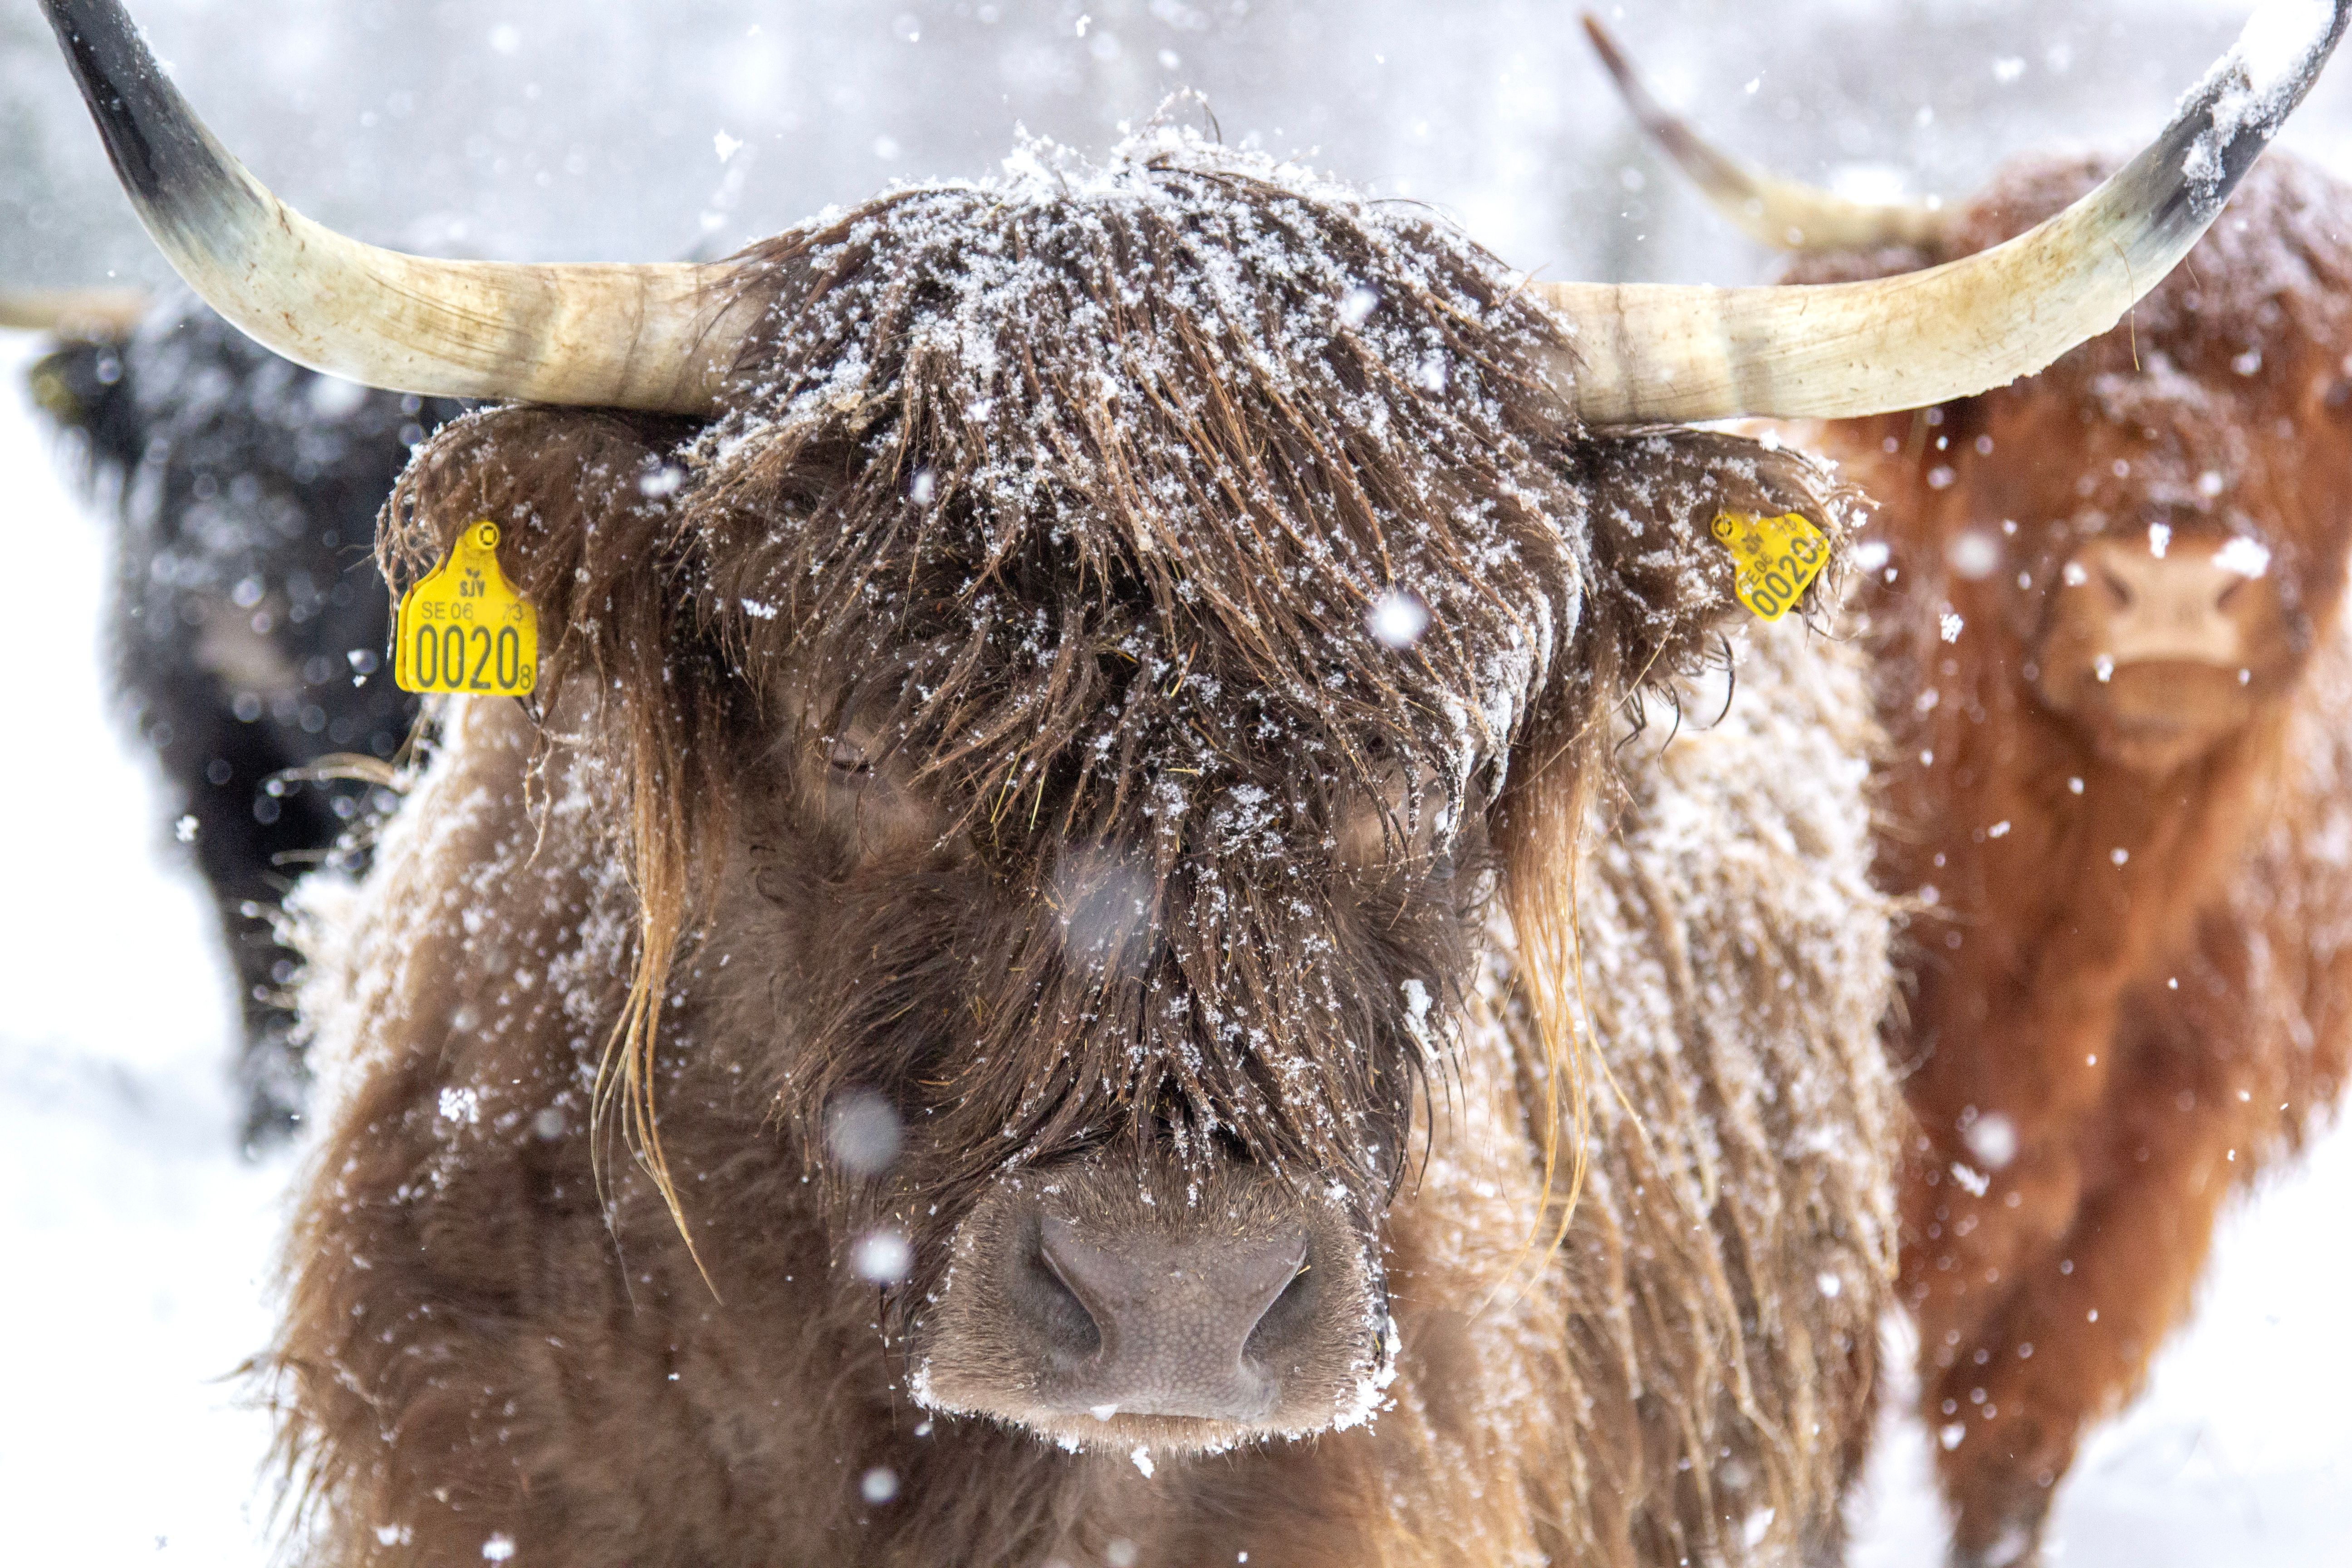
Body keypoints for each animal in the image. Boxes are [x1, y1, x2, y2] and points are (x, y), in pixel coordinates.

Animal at [11, 290, 459, 1146]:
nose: (222, 616)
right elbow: (254, 928)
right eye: (167, 447)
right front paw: (274, 1119)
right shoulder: (204, 765)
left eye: (353, 453)